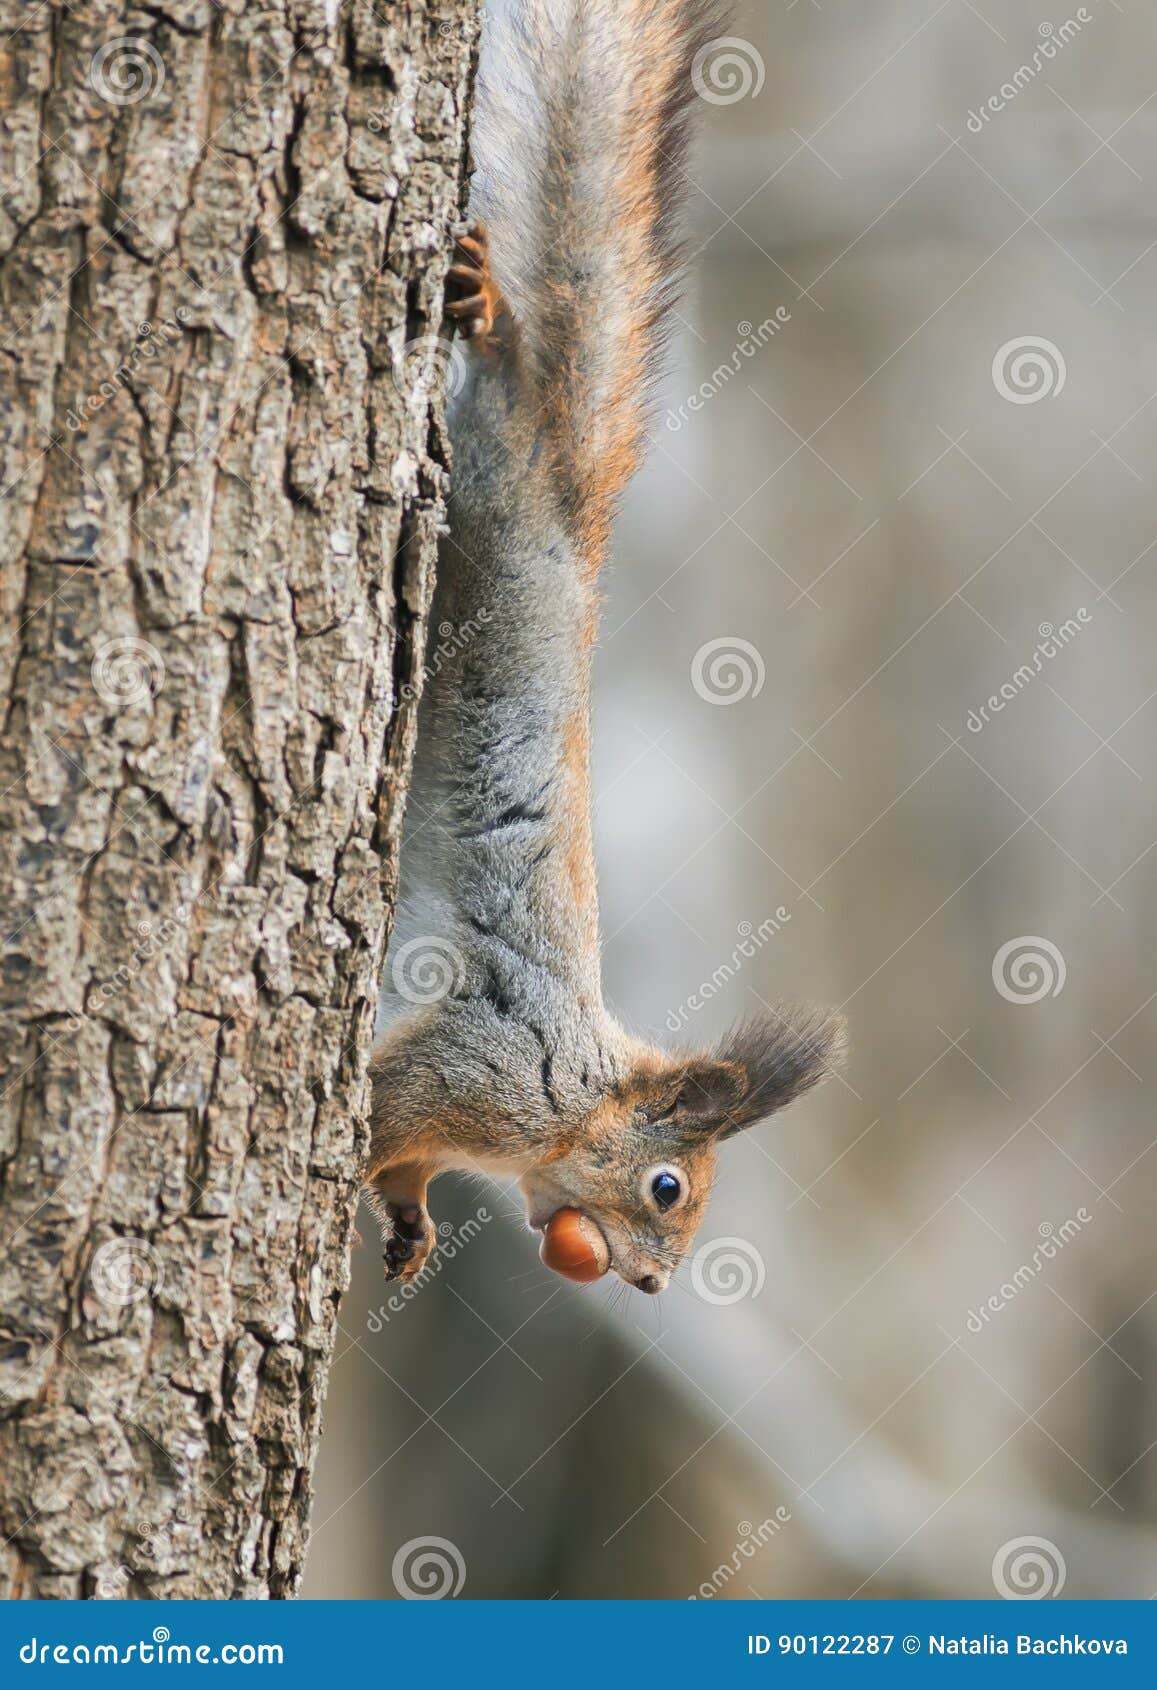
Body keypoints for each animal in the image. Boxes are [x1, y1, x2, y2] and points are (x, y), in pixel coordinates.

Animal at [365, 0, 846, 1294]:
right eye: (667, 1186)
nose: (648, 1284)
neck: (573, 1099)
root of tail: (571, 508)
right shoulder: (473, 1066)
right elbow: (380, 1110)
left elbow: (404, 1170)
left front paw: (409, 1225)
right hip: (486, 496)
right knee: (513, 371)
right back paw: (487, 309)